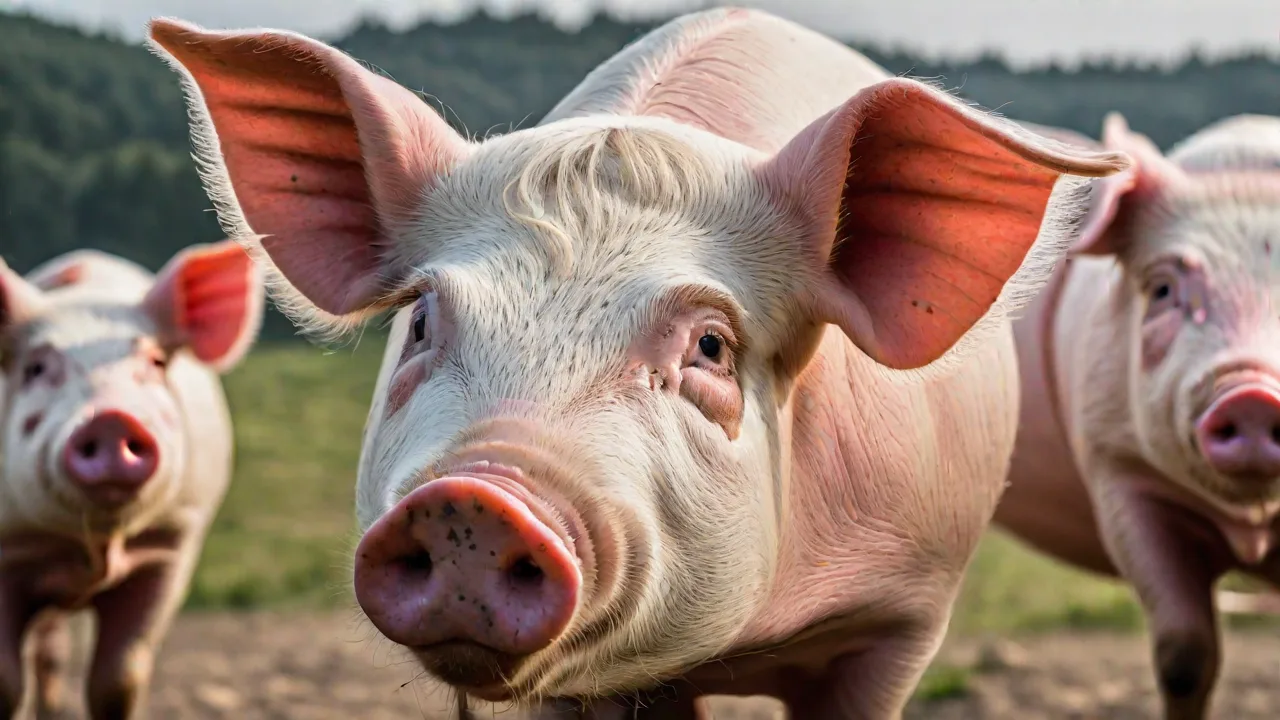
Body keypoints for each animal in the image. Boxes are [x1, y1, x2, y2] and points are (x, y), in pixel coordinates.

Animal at [0, 242, 263, 719]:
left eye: (155, 362)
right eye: (36, 368)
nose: (110, 418)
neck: (94, 548)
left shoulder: (169, 546)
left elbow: (119, 676)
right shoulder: (9, 549)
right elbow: (6, 680)